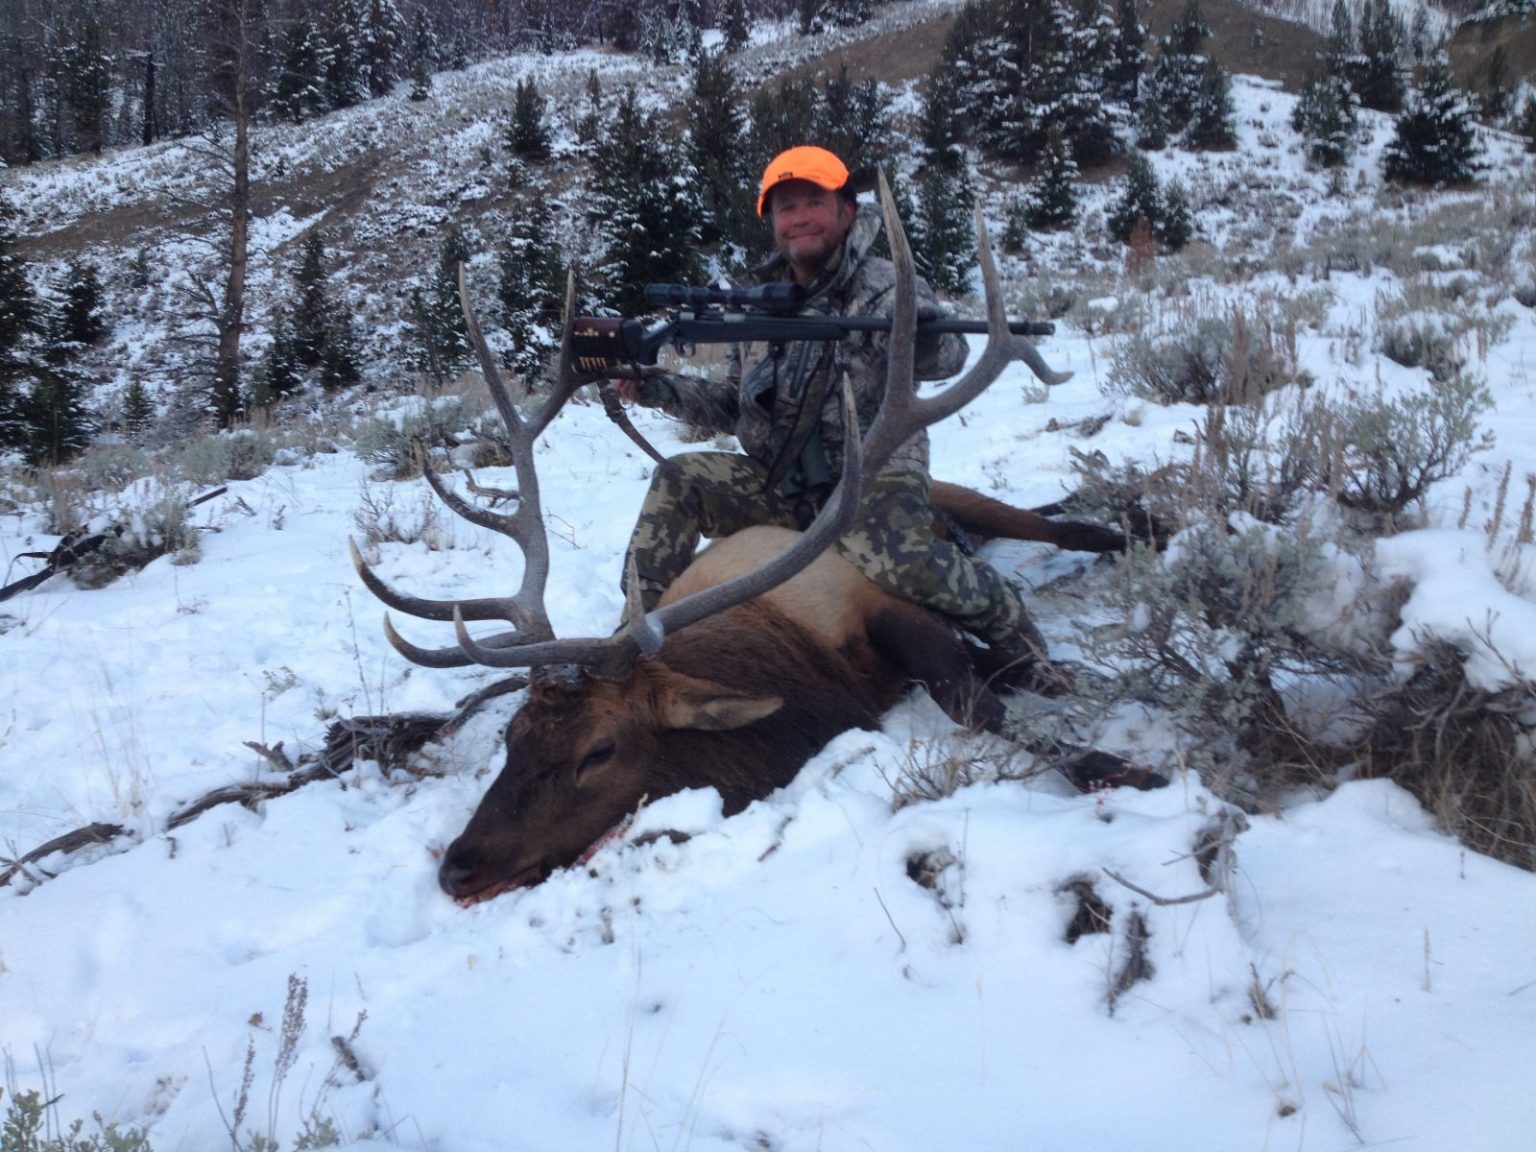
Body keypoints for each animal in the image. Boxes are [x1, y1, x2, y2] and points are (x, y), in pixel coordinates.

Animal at [353, 175, 1162, 905]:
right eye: (513, 737)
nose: (460, 867)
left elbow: (976, 700)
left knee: (1052, 523)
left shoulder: (882, 608)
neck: (800, 666)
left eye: (599, 750)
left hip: (934, 506)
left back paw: (1140, 528)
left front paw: (1121, 762)